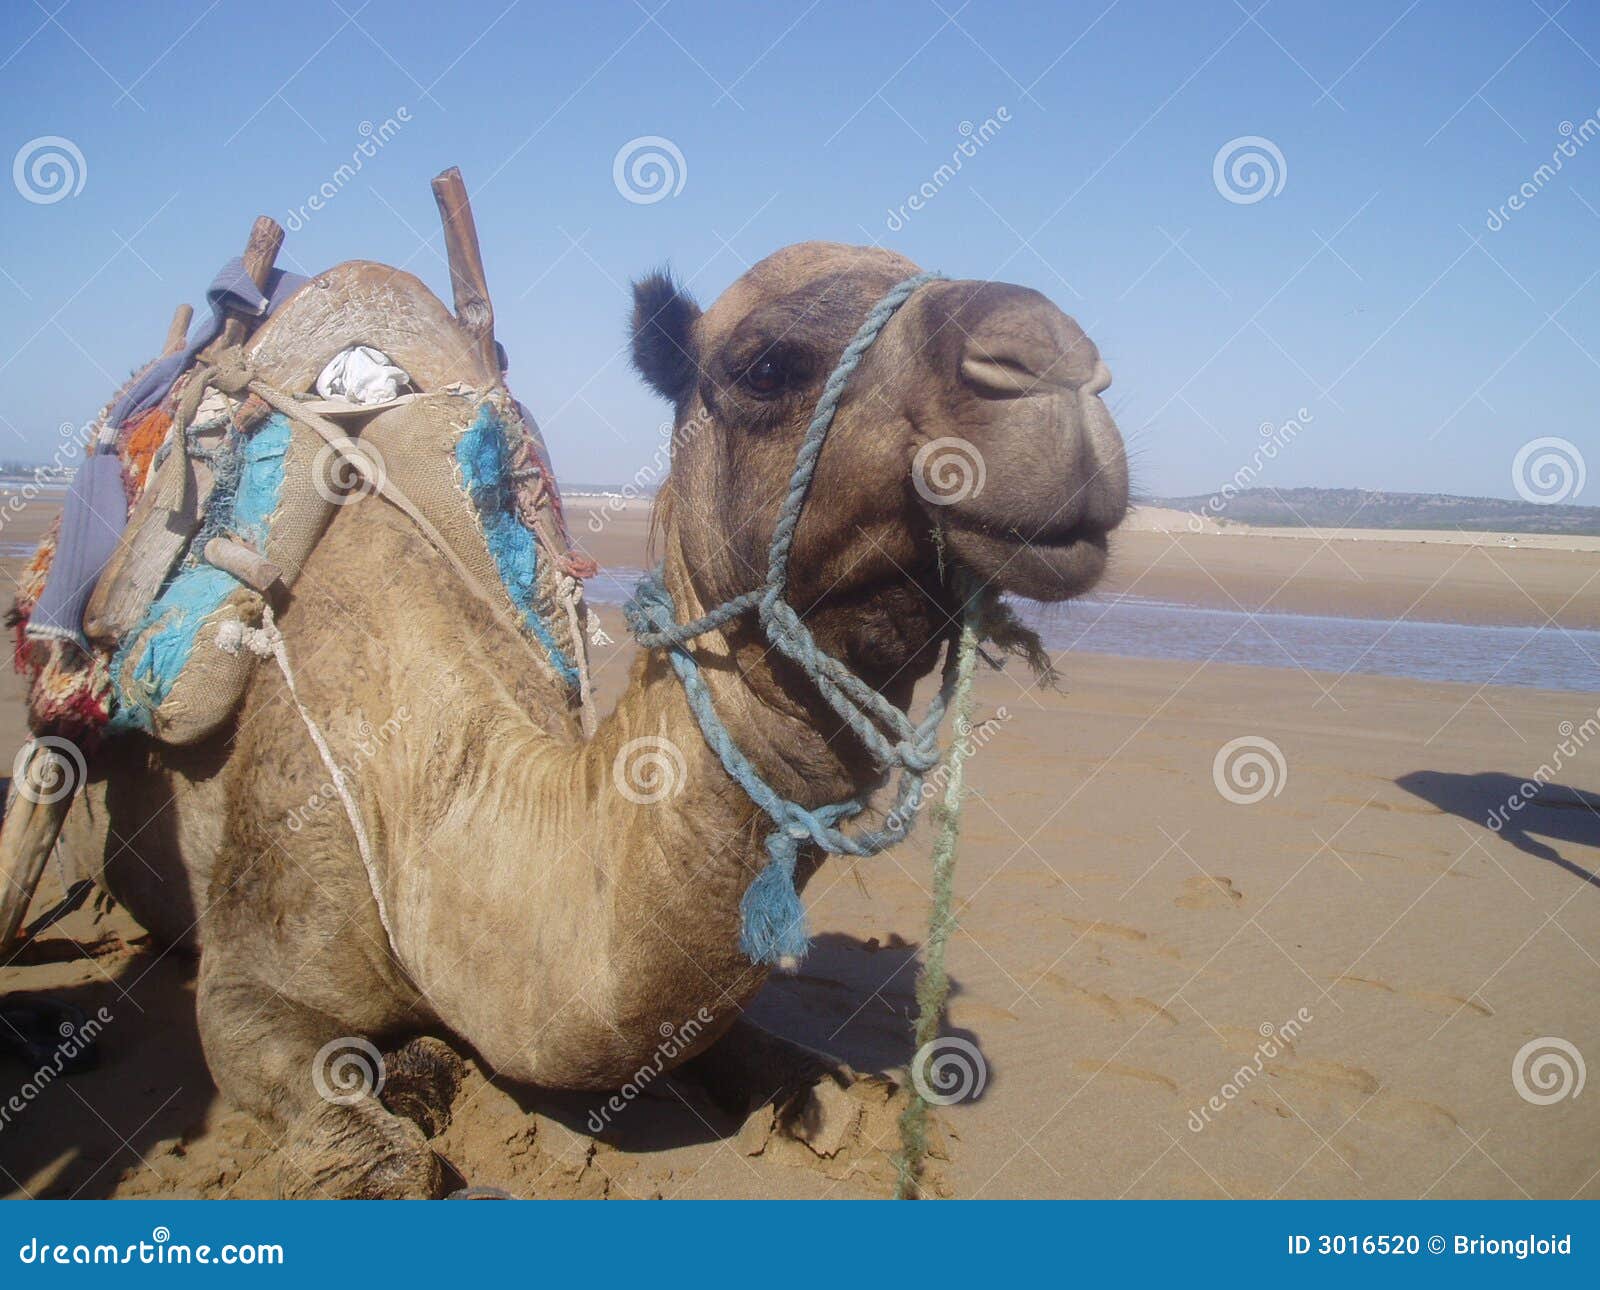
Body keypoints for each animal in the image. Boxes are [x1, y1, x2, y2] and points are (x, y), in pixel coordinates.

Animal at [48, 241, 1128, 1197]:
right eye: (766, 365)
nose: (1054, 360)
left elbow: (801, 1082)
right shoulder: (250, 981)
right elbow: (384, 1161)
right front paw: (414, 1092)